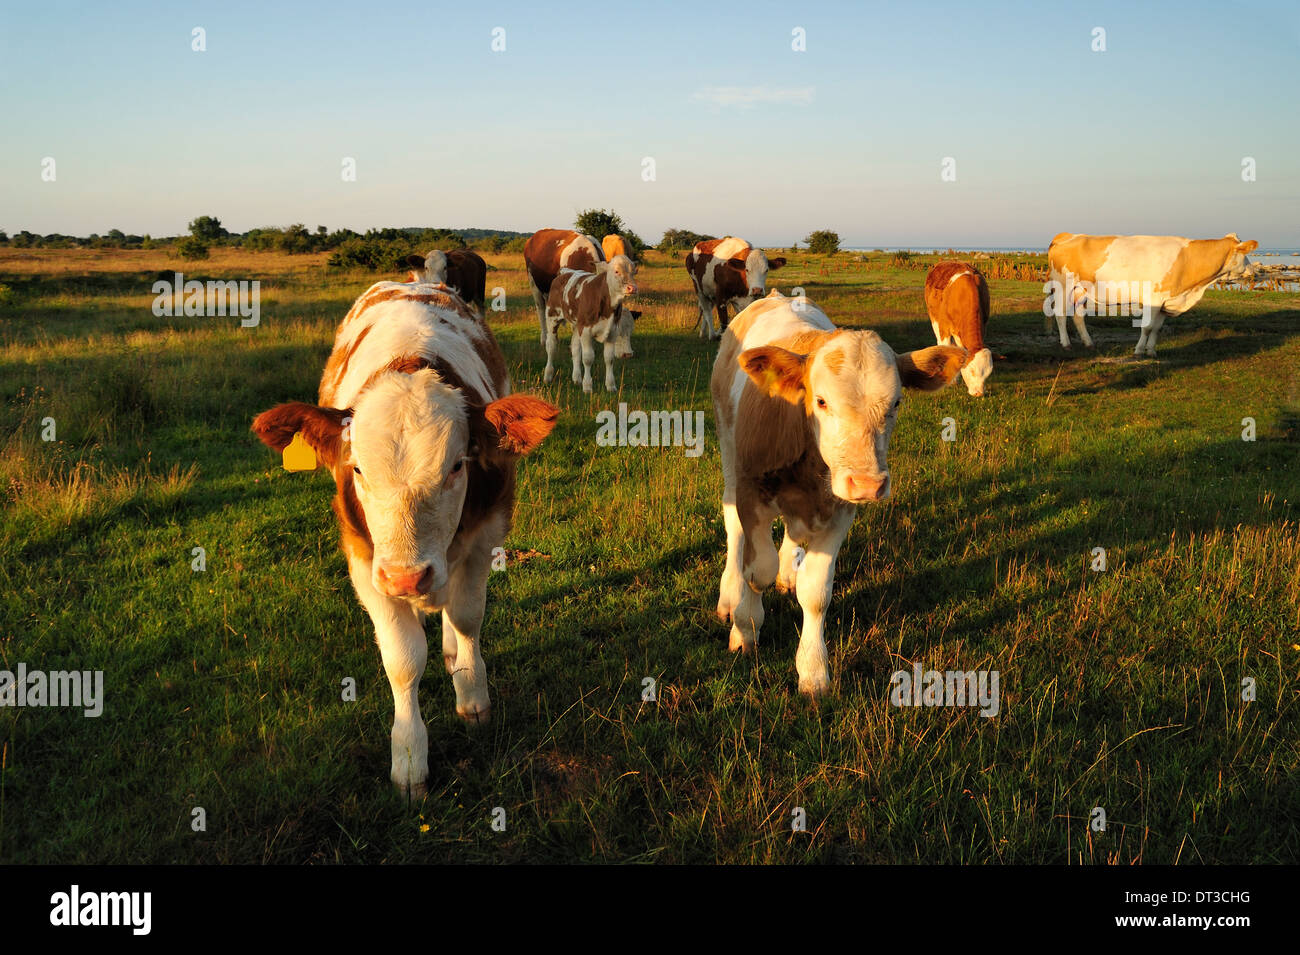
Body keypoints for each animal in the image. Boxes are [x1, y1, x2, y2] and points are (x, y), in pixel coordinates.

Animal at [251, 282, 559, 797]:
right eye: (357, 469)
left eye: (457, 466)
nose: (406, 578)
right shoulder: (365, 561)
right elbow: (403, 658)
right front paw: (410, 756)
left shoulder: (487, 535)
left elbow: (468, 617)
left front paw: (473, 695)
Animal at [543, 257, 638, 392]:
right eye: (616, 271)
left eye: (633, 272)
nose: (633, 288)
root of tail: (565, 271)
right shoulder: (586, 331)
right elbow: (588, 358)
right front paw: (587, 386)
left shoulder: (612, 332)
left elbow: (609, 358)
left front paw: (611, 386)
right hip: (552, 317)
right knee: (551, 346)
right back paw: (548, 376)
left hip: (577, 325)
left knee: (575, 348)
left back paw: (577, 378)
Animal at [711, 291, 965, 696]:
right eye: (822, 401)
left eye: (896, 403)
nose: (867, 484)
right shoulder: (752, 492)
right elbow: (758, 571)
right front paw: (745, 629)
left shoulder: (840, 511)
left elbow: (816, 594)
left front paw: (813, 671)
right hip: (729, 454)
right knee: (733, 530)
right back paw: (728, 595)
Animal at [1047, 233, 1258, 356]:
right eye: (1245, 255)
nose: (1253, 270)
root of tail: (1066, 235)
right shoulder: (1154, 299)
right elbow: (1147, 327)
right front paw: (1139, 351)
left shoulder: (1166, 301)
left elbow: (1157, 328)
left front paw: (1151, 351)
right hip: (1063, 285)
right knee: (1060, 314)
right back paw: (1066, 344)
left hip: (1080, 290)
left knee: (1078, 316)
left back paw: (1089, 343)